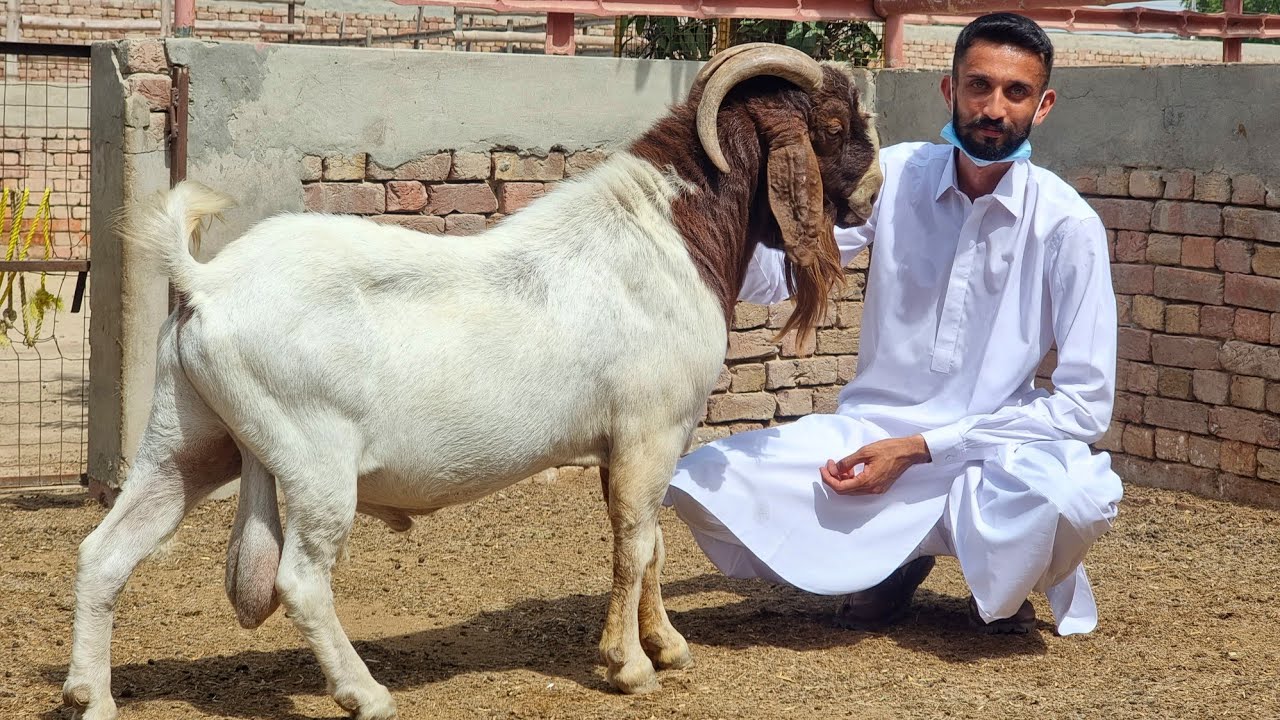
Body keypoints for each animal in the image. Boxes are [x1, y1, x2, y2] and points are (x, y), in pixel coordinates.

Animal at [63, 43, 881, 720]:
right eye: (833, 119)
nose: (872, 193)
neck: (668, 233)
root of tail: (205, 282)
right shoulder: (651, 429)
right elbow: (635, 541)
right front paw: (630, 667)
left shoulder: (635, 440)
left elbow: (648, 544)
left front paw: (668, 647)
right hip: (313, 456)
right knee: (300, 578)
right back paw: (365, 694)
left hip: (188, 439)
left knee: (106, 551)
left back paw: (90, 696)